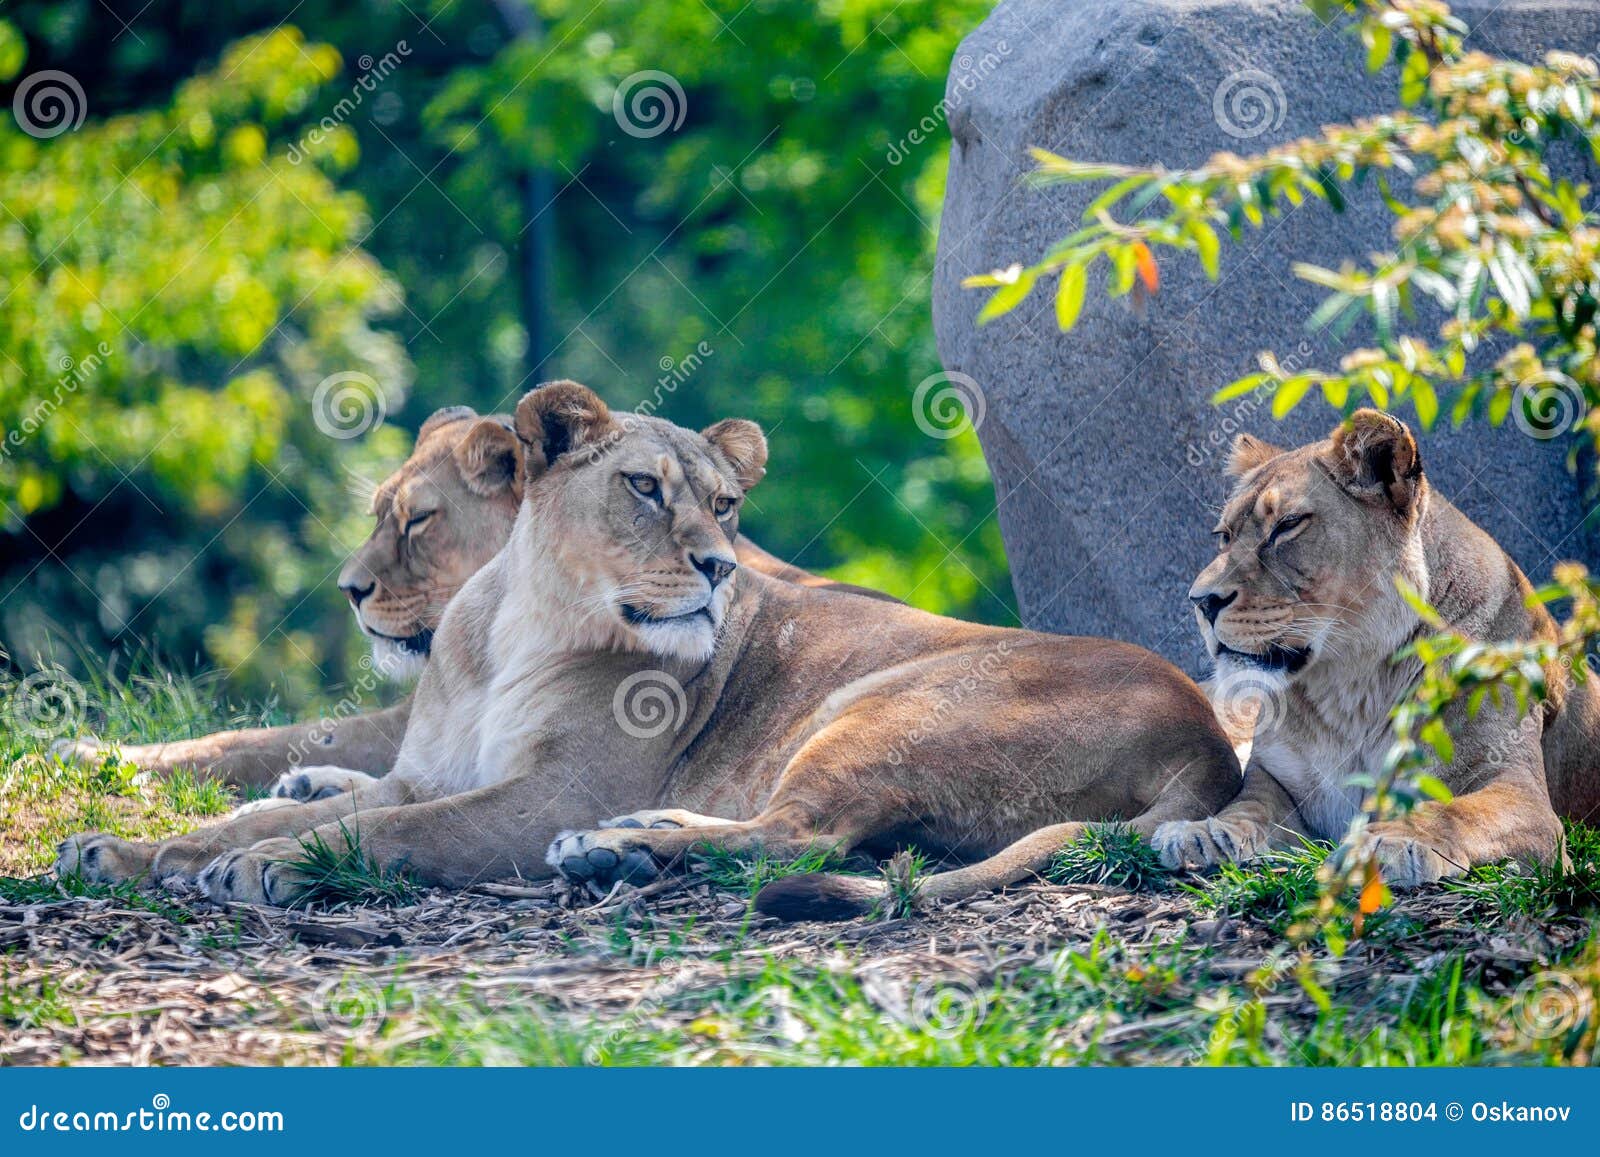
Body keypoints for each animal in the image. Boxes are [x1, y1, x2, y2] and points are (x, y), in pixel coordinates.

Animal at [1150, 409, 1600, 886]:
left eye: (1287, 526)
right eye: (1224, 535)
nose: (1201, 601)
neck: (1351, 684)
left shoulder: (1520, 793)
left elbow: (1454, 813)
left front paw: (1386, 842)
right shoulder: (1276, 780)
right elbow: (1246, 808)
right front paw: (1203, 833)